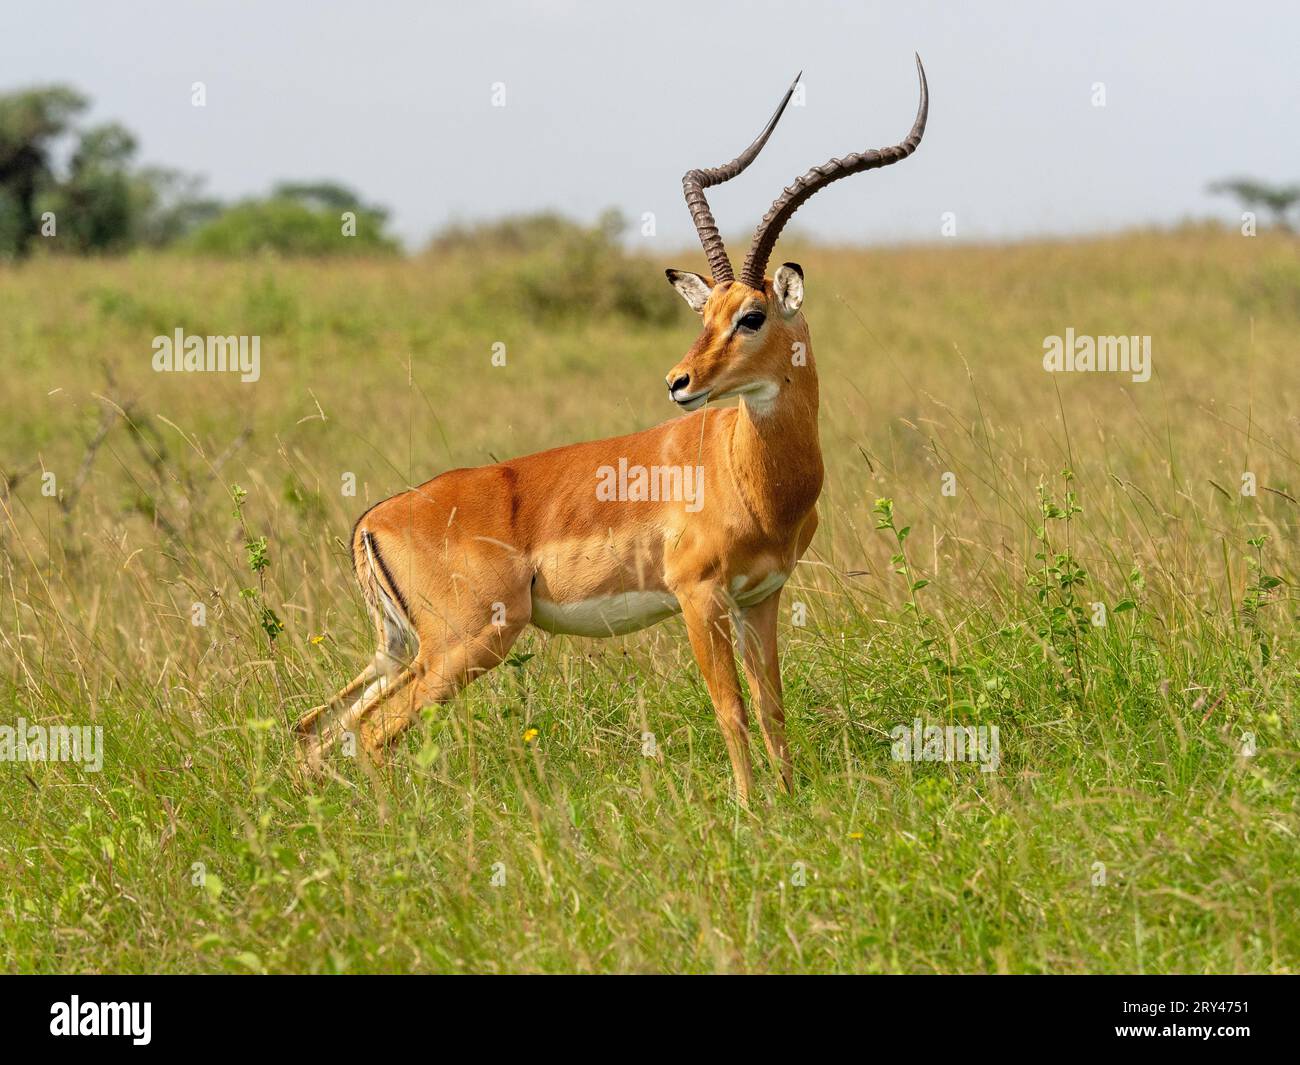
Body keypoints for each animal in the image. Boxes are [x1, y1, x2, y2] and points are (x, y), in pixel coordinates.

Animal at [295, 57, 929, 804]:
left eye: (750, 316)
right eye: (706, 314)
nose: (679, 381)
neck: (750, 475)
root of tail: (375, 517)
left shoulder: (762, 597)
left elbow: (772, 705)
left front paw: (789, 801)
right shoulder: (698, 595)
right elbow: (731, 708)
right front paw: (749, 810)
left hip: (399, 650)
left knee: (317, 727)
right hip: (463, 645)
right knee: (371, 731)